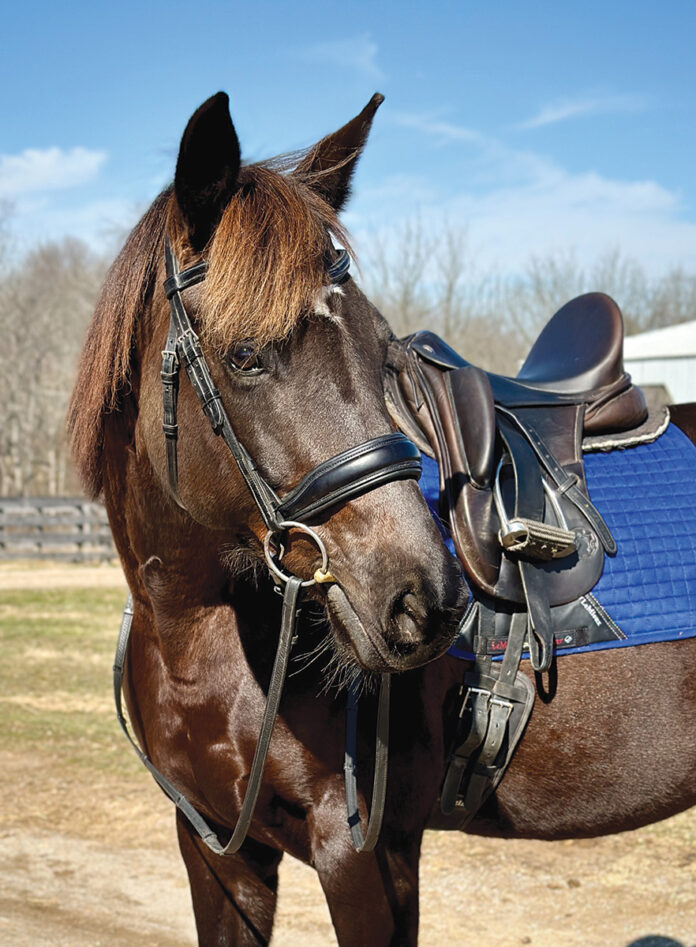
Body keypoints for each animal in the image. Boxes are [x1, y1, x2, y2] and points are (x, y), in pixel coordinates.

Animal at [67, 92, 696, 946]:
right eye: (245, 356)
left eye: (380, 350)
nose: (425, 598)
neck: (198, 633)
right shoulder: (219, 849)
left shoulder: (365, 852)